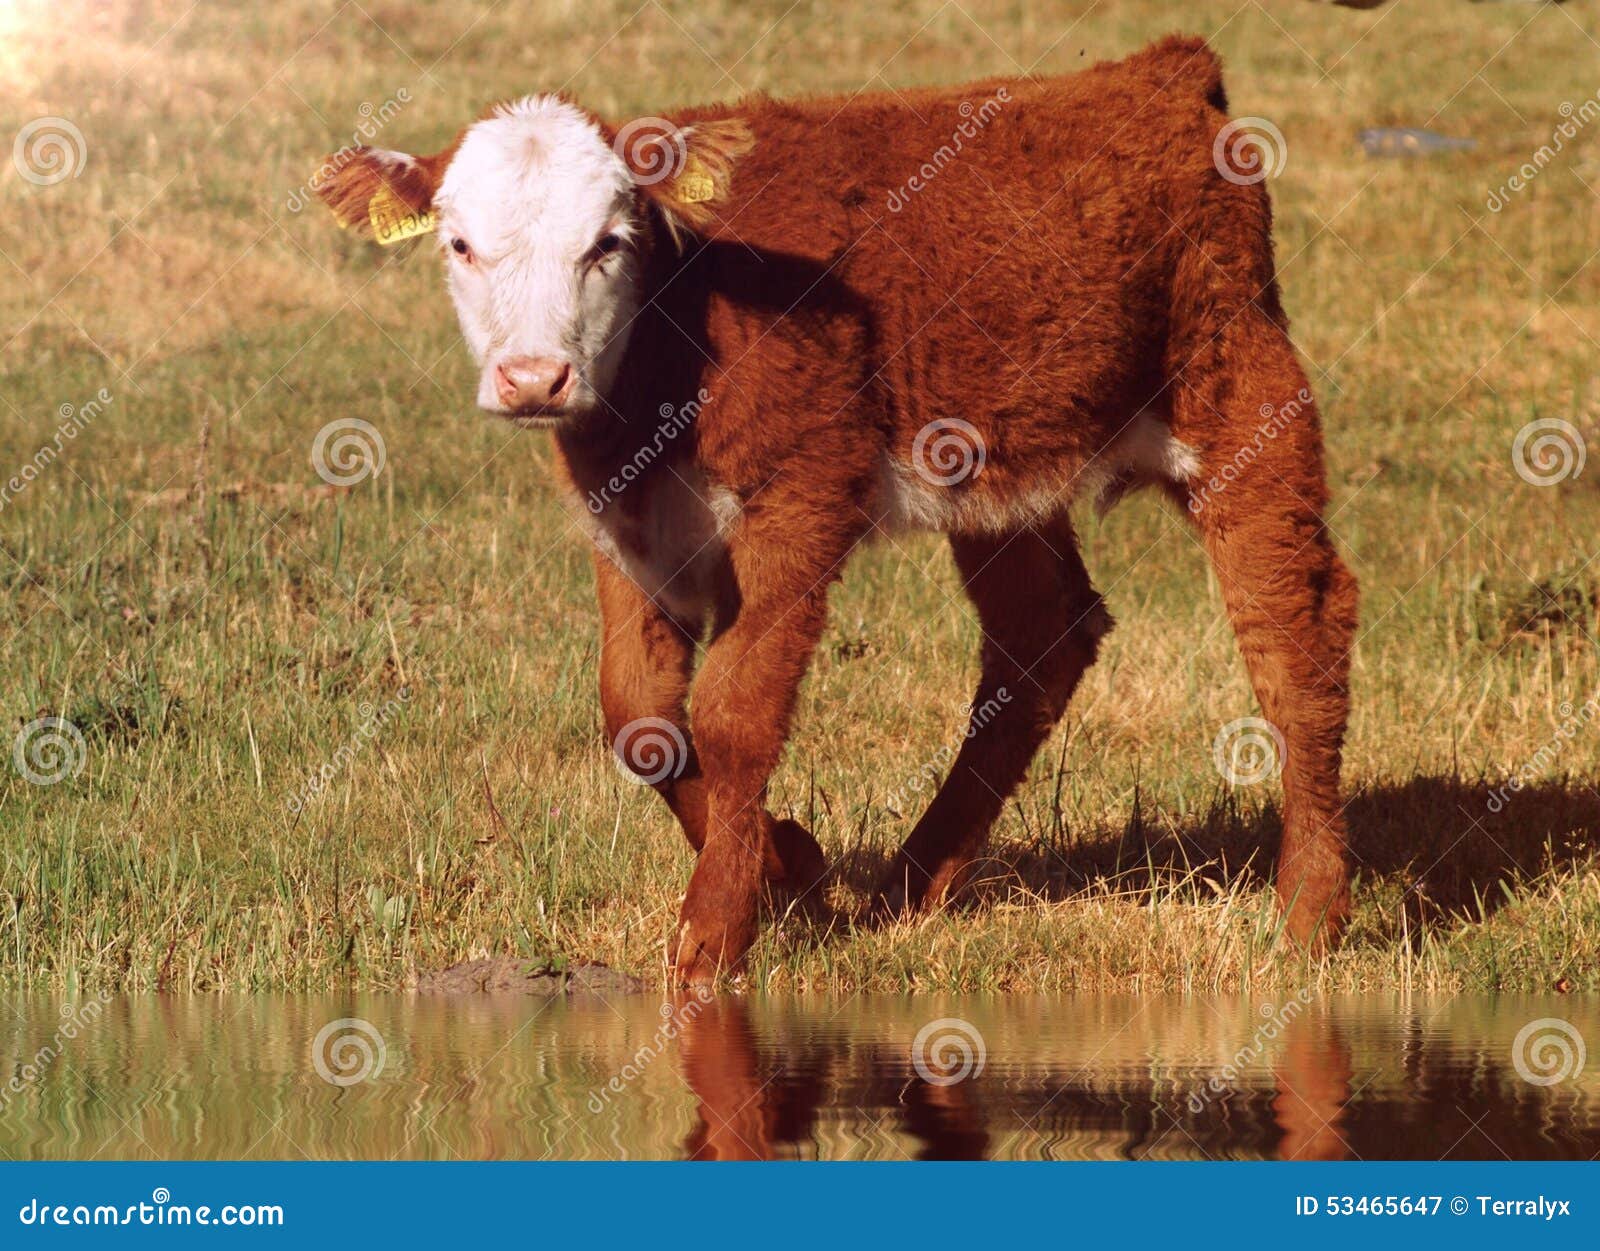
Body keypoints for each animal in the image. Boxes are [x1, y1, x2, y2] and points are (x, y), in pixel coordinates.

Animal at [313, 34, 1359, 987]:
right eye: (459, 244)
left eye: (609, 243)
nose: (534, 378)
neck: (683, 328)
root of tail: (1158, 71)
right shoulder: (626, 518)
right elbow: (637, 714)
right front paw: (791, 863)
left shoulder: (799, 496)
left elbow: (734, 711)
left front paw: (712, 936)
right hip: (1001, 467)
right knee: (1043, 632)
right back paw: (916, 879)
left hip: (1241, 387)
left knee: (1295, 626)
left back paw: (1308, 913)